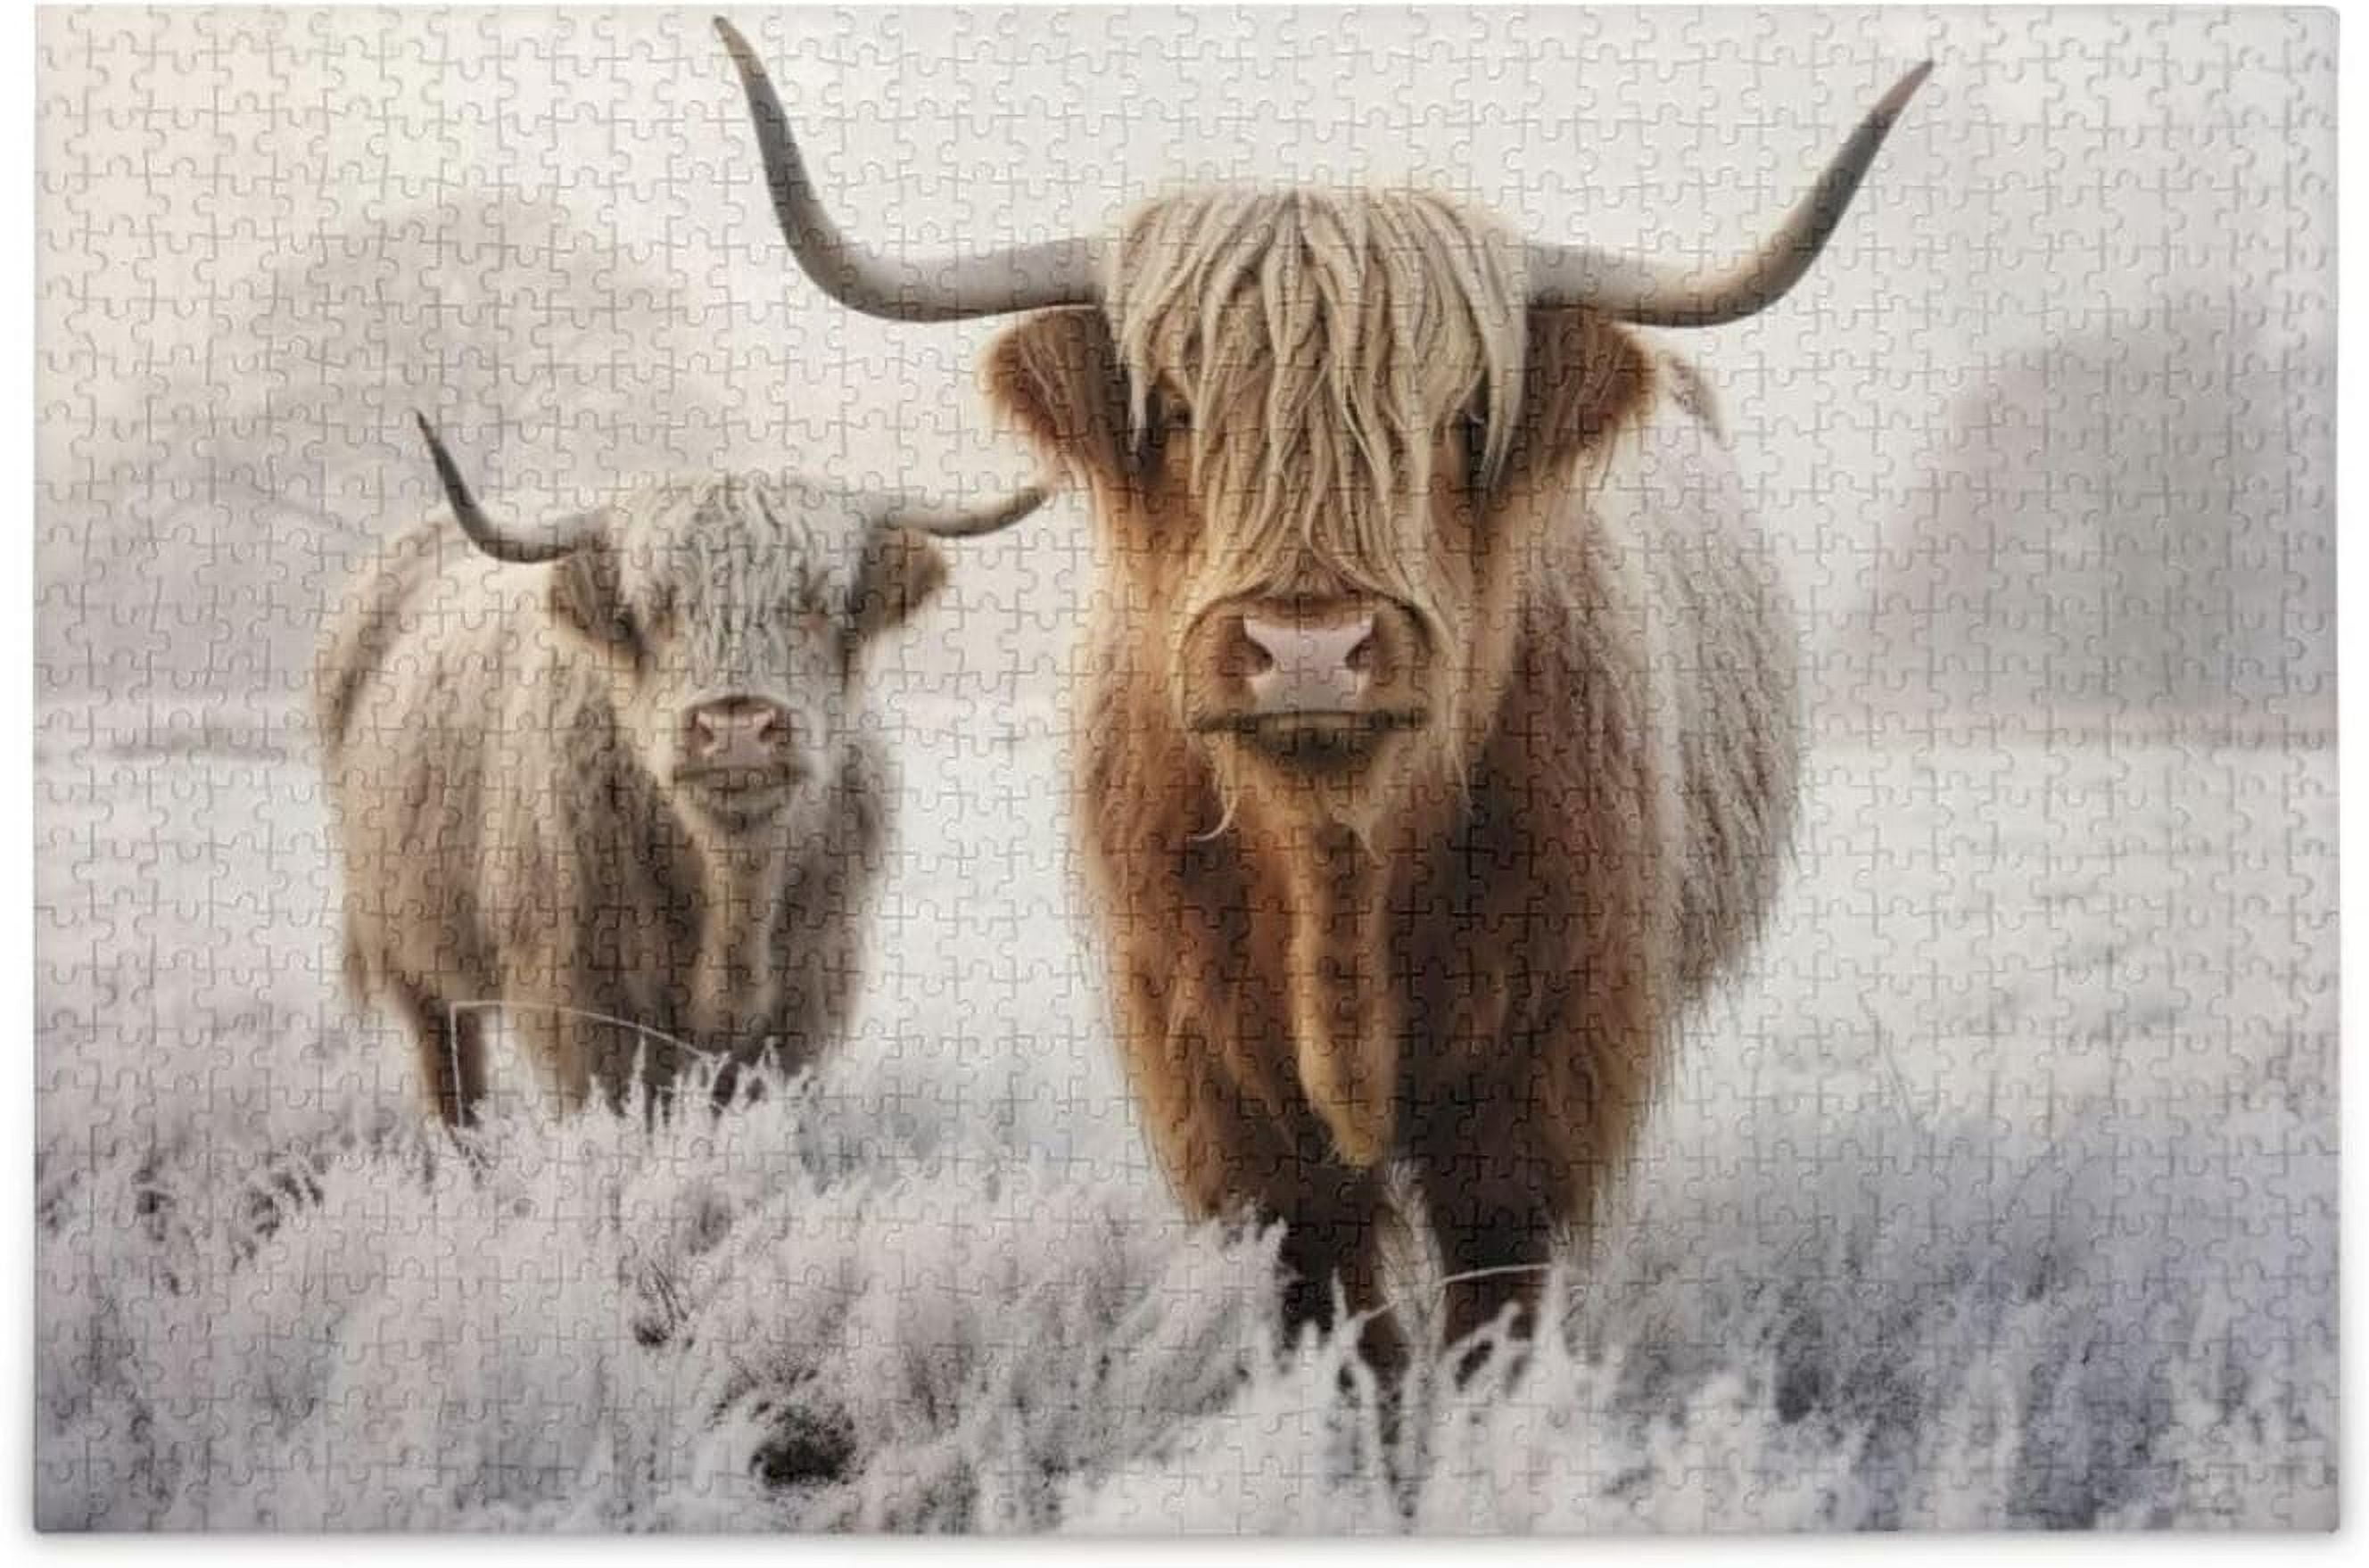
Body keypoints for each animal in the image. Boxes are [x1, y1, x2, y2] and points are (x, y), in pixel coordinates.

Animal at [316, 415, 1041, 1126]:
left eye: (817, 603)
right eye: (655, 608)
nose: (736, 729)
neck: (732, 887)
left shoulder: (808, 991)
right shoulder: (581, 996)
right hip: (405, 940)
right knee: (448, 1066)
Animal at [717, 18, 1927, 1366]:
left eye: (1462, 419)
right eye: (1175, 410)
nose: (1310, 649)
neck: (1336, 856)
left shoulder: (1548, 1068)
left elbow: (1492, 1303)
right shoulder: (1215, 1085)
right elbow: (1334, 1310)